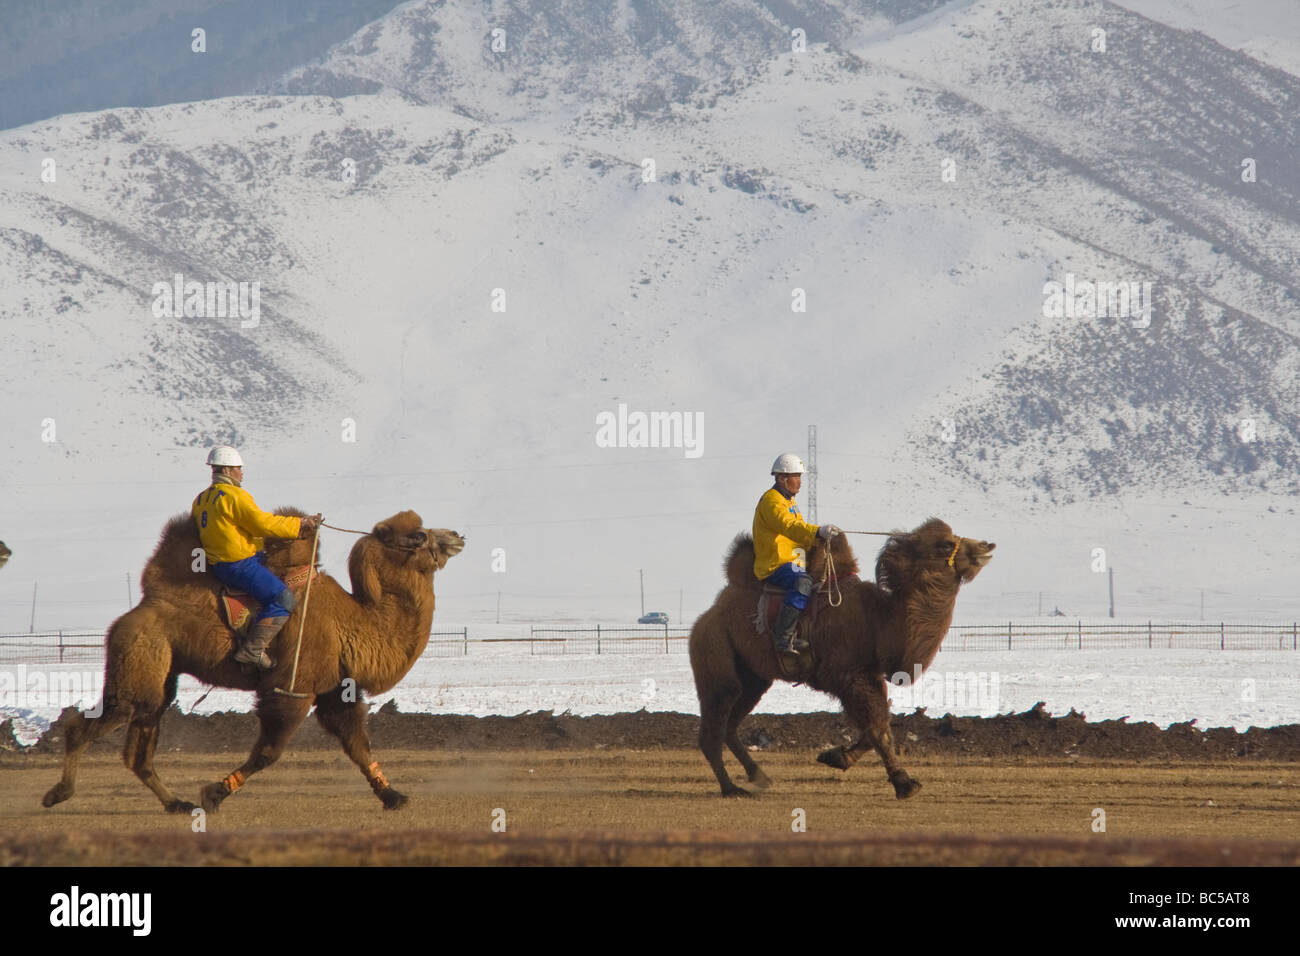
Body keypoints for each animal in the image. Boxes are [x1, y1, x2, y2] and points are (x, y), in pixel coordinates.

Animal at [42, 509, 464, 814]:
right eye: (418, 536)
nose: (457, 536)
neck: (354, 622)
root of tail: (137, 611)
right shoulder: (292, 688)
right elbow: (268, 752)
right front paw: (214, 793)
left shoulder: (334, 689)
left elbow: (359, 745)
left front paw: (393, 796)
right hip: (140, 660)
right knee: (93, 723)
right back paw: (58, 793)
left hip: (162, 676)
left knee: (139, 747)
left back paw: (177, 803)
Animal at [689, 518, 994, 798]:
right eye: (946, 545)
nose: (987, 545)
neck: (880, 622)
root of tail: (706, 617)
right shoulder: (849, 675)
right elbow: (878, 728)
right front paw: (905, 783)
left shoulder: (869, 673)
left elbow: (879, 724)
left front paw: (835, 757)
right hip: (715, 653)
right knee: (714, 724)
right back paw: (731, 788)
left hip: (754, 677)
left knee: (731, 724)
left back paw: (758, 776)